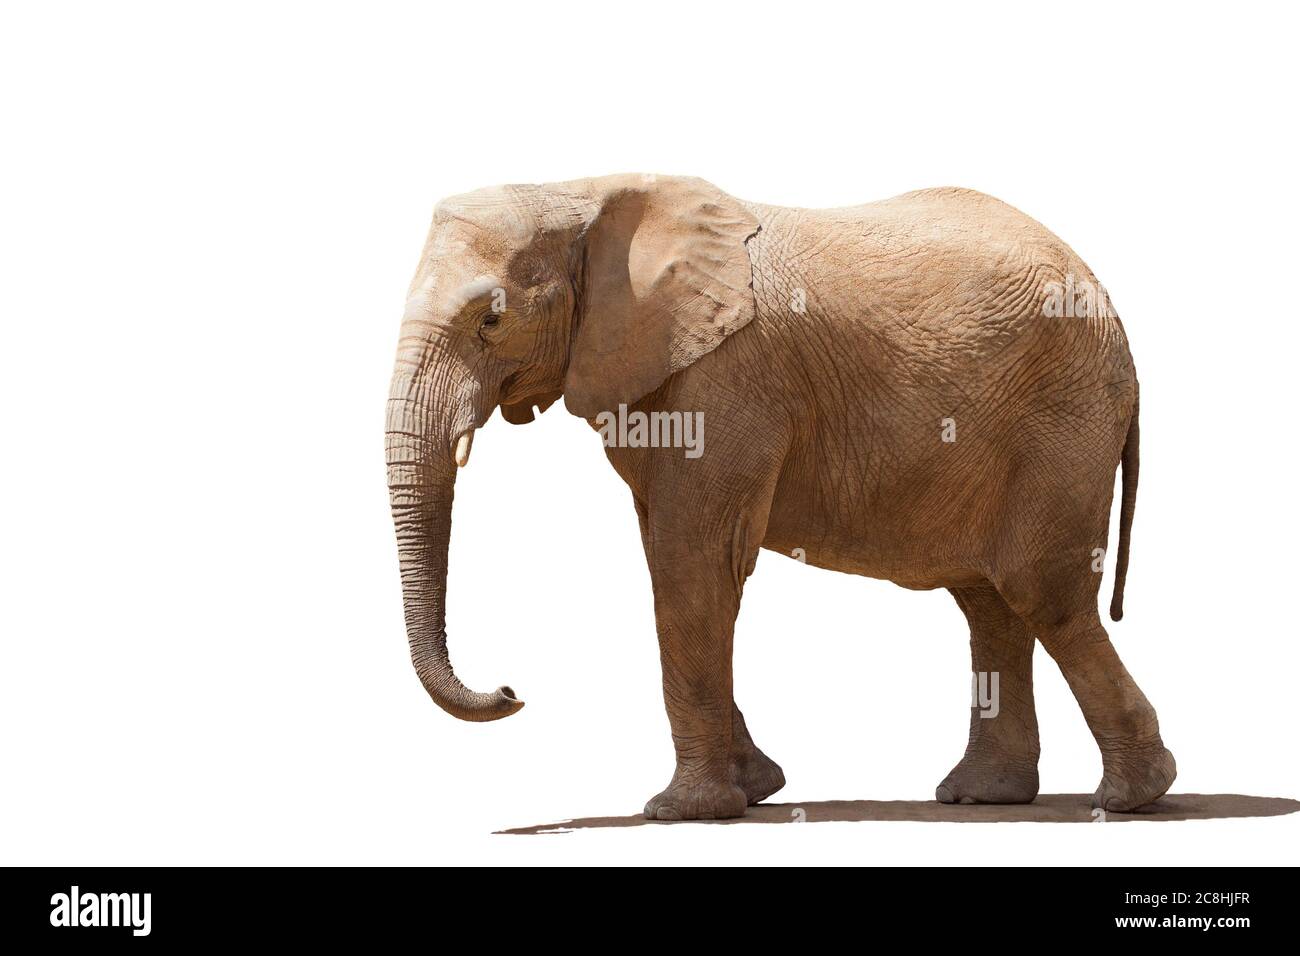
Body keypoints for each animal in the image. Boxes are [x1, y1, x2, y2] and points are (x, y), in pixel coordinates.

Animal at [385, 173, 1175, 821]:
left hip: (1062, 420)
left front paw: (684, 813)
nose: (512, 690)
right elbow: (674, 557)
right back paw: (985, 796)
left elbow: (693, 562)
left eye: (490, 321)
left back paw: (1133, 798)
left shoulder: (726, 380)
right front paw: (758, 788)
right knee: (990, 601)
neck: (582, 191)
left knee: (1043, 591)